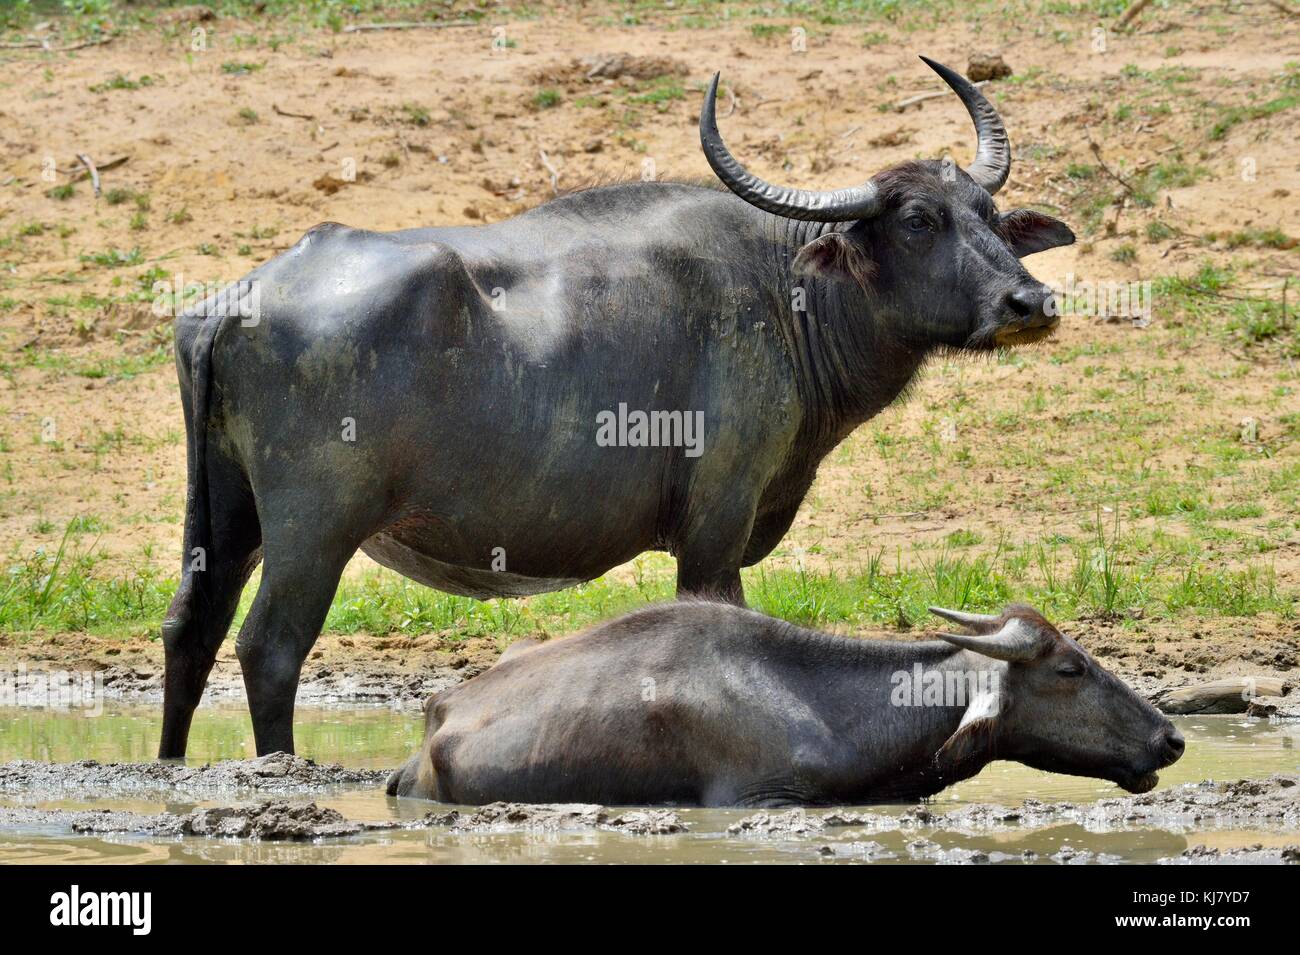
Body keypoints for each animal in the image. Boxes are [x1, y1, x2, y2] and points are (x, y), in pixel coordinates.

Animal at [161, 57, 1075, 757]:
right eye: (918, 220)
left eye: (990, 215)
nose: (1030, 302)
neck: (785, 293)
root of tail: (240, 300)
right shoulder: (716, 527)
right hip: (315, 527)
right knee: (270, 645)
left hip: (227, 514)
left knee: (190, 627)